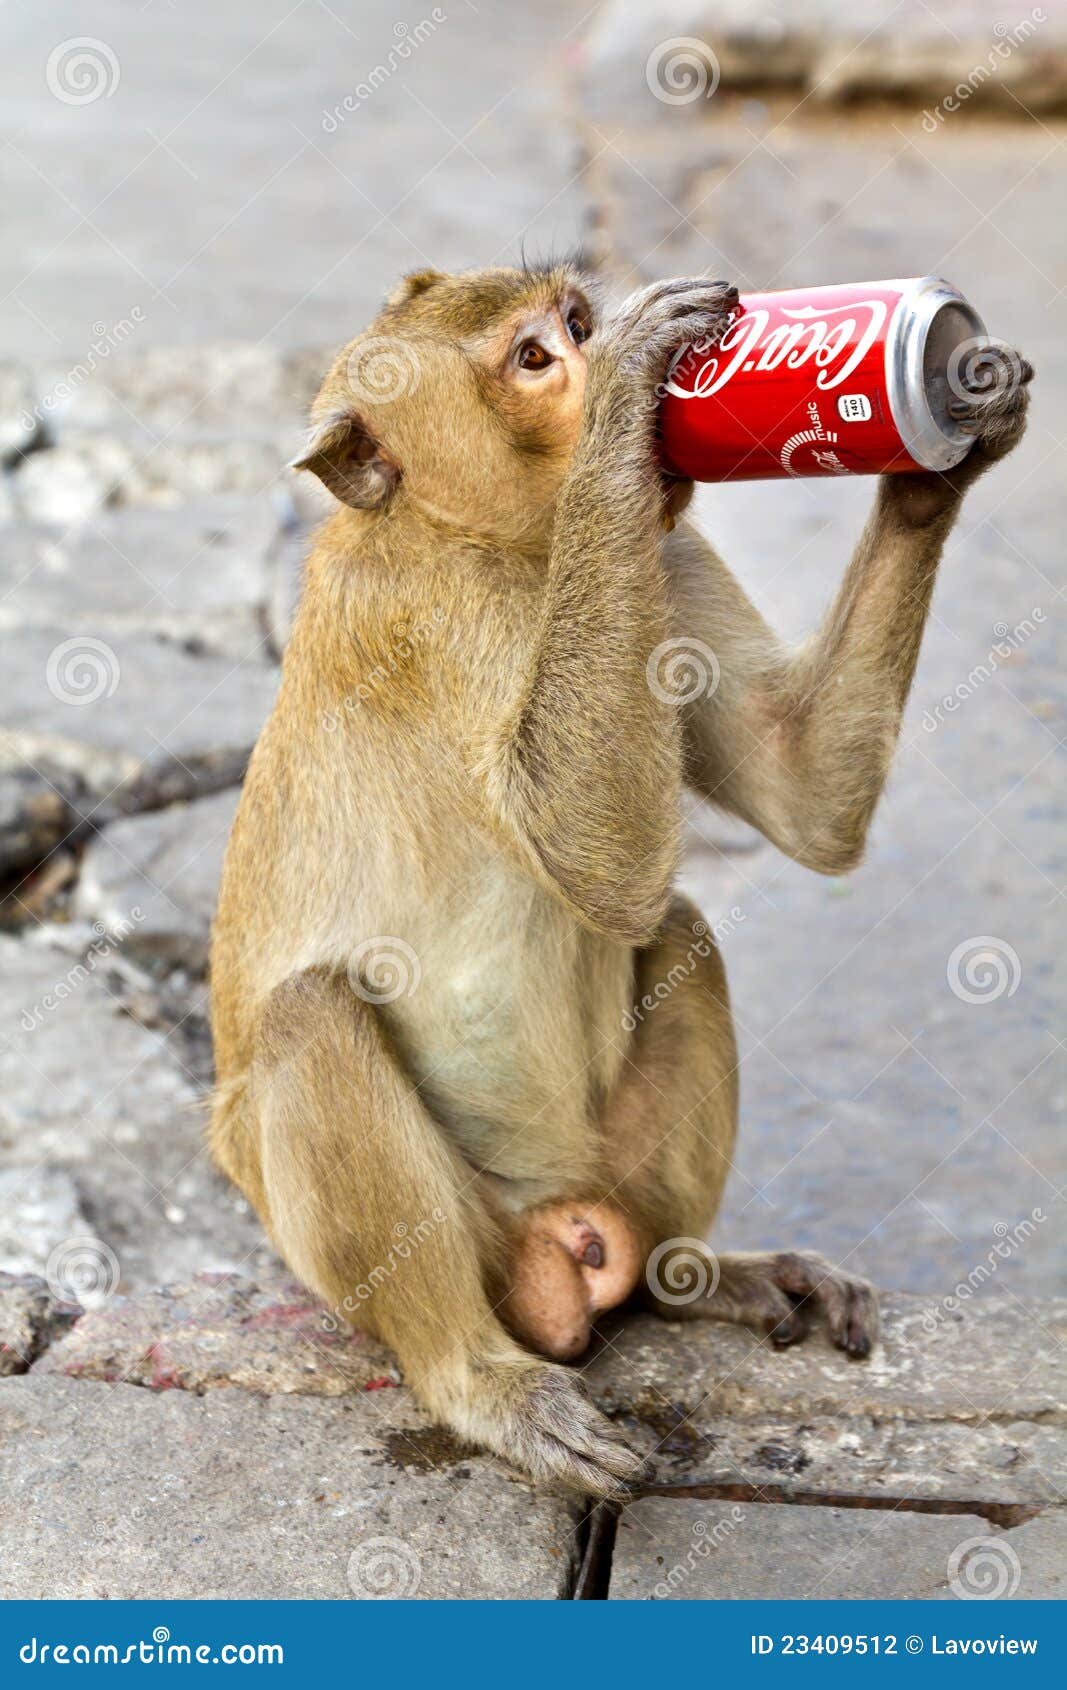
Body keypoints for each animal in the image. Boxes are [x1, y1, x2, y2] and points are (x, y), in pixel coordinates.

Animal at [208, 262, 1031, 1497]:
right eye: (533, 358)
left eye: (573, 322)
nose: (602, 344)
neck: (493, 536)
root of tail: (561, 1228)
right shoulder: (433, 613)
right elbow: (591, 851)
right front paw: (627, 407)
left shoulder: (665, 559)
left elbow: (795, 790)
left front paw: (948, 438)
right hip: (441, 1250)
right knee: (312, 1016)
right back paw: (480, 1384)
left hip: (613, 1175)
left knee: (683, 931)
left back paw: (690, 1278)